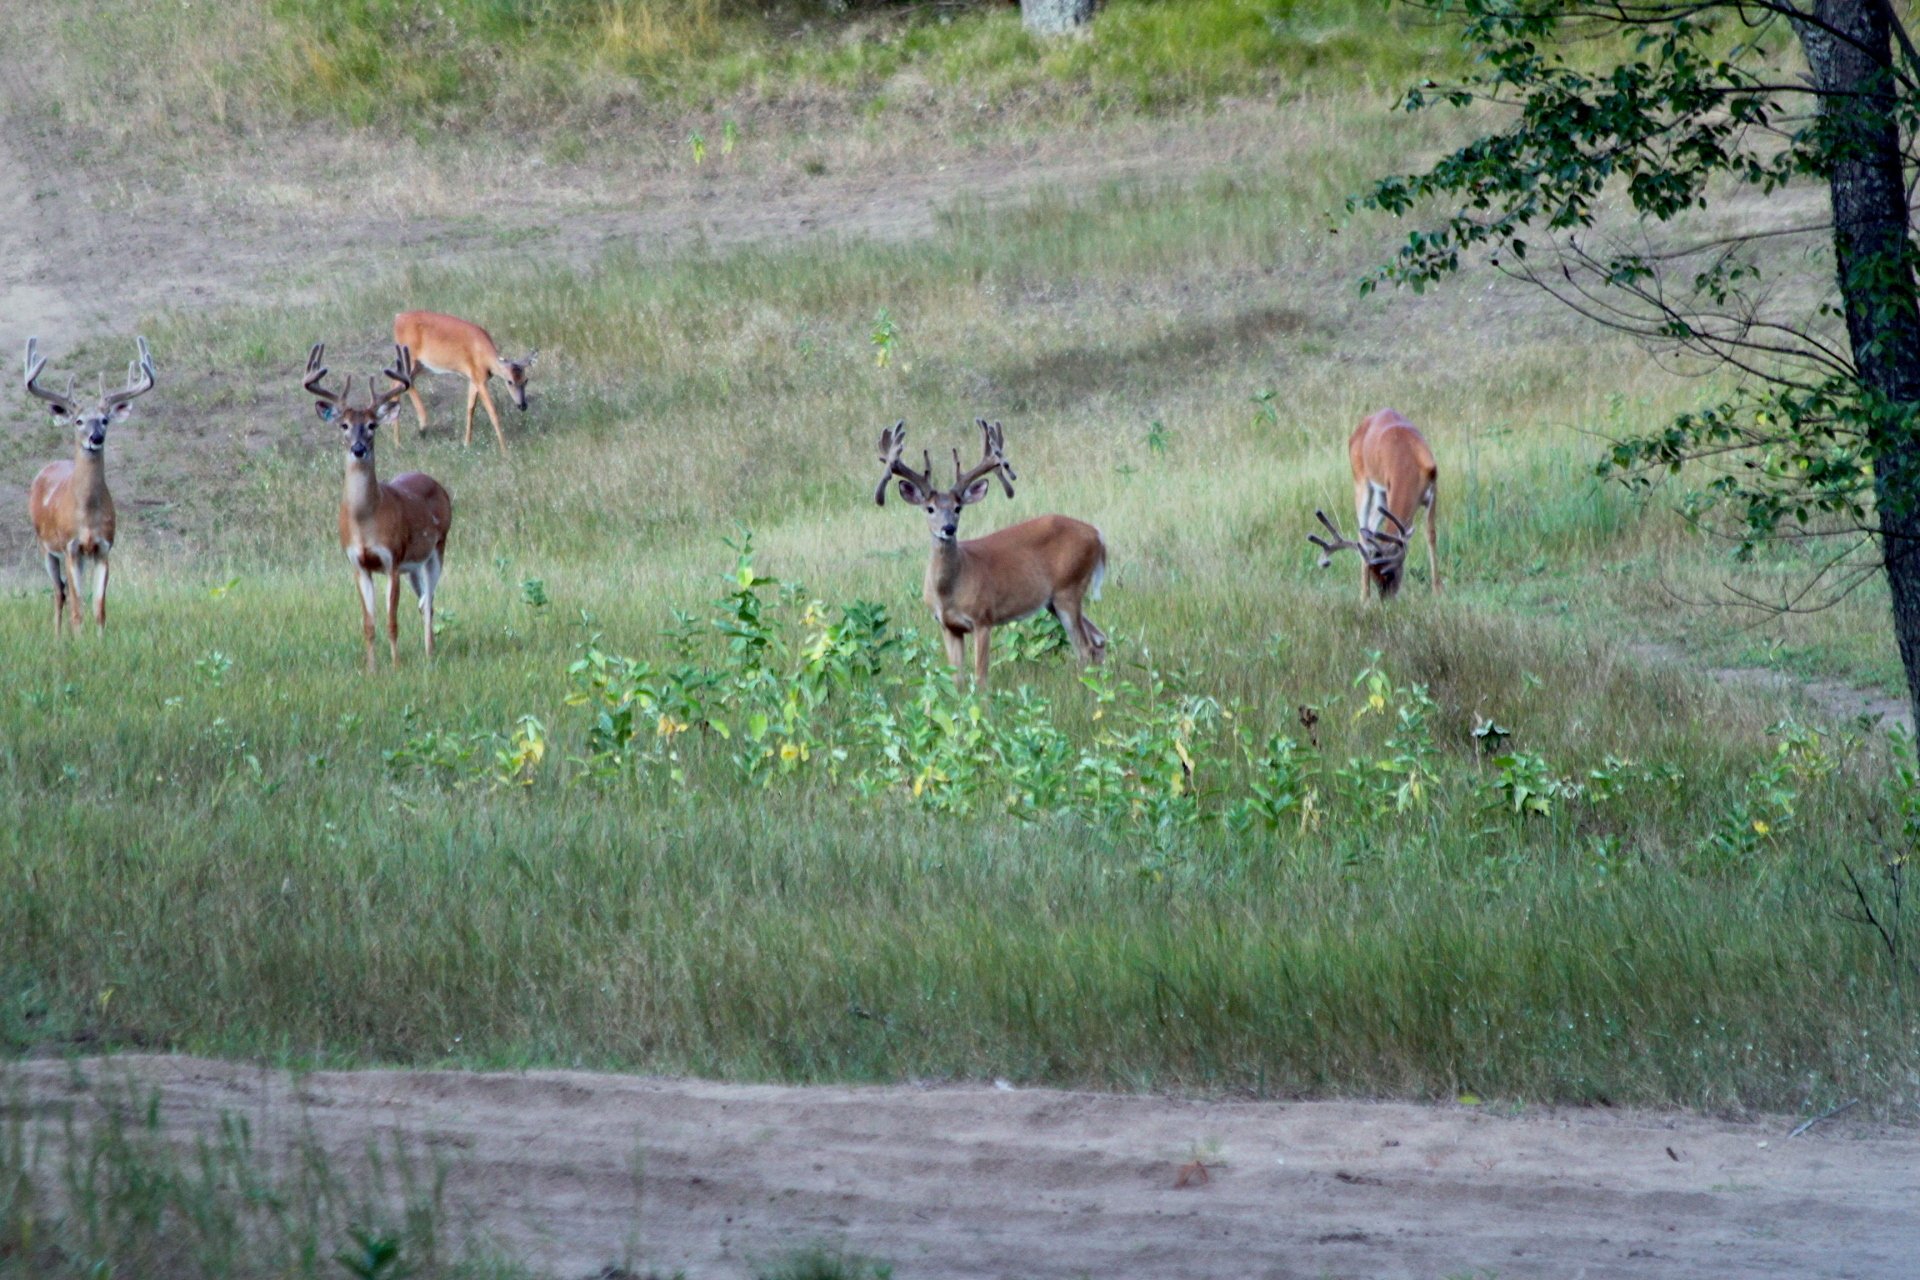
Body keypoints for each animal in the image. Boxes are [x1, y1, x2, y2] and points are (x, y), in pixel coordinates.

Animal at [23, 336, 156, 634]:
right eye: (79, 421)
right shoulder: (70, 546)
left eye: (105, 420)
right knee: (59, 592)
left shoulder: (103, 546)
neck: (86, 515)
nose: (96, 437)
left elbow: (98, 606)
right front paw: (77, 638)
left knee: (65, 591)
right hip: (45, 545)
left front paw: (99, 639)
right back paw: (58, 636)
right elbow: (77, 605)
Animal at [303, 342, 453, 670]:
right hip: (414, 565)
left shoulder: (392, 559)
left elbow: (391, 621)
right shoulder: (358, 564)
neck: (364, 521)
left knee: (429, 602)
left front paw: (395, 666)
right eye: (344, 425)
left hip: (437, 548)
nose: (358, 448)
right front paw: (371, 670)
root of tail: (434, 482)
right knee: (423, 602)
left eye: (372, 425)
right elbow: (368, 623)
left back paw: (429, 654)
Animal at [391, 310, 536, 455]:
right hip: (409, 357)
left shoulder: (473, 379)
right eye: (509, 381)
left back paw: (405, 437)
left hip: (419, 365)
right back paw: (412, 432)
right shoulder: (480, 380)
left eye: (526, 380)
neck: (483, 355)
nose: (523, 405)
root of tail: (398, 318)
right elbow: (492, 412)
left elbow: (470, 409)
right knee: (400, 382)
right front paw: (504, 450)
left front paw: (467, 444)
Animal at [874, 419, 1108, 689]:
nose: (948, 528)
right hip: (1054, 601)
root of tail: (1097, 534)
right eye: (929, 508)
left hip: (1069, 588)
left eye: (958, 508)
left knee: (1085, 648)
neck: (950, 591)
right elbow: (956, 679)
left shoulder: (983, 618)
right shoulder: (948, 626)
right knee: (1099, 640)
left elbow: (980, 677)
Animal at [1307, 408, 1440, 600]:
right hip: (1361, 481)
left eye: (1388, 572)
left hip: (1380, 495)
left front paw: (1438, 590)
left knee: (1368, 529)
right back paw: (1364, 597)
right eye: (1374, 574)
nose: (1386, 600)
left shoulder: (1433, 488)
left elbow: (1431, 535)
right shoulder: (1390, 488)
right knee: (1362, 532)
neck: (1408, 465)